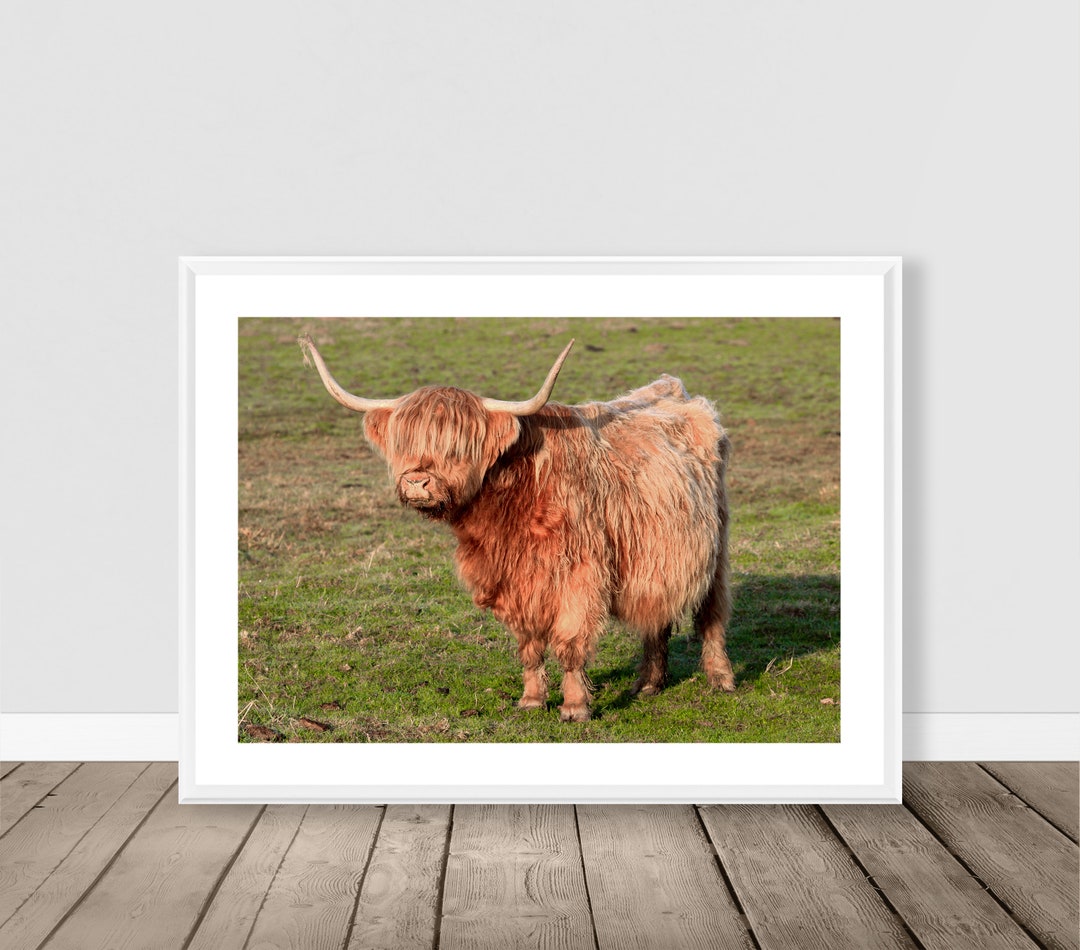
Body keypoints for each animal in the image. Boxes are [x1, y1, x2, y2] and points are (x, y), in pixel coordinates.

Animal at [299, 335, 734, 722]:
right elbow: (529, 645)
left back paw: (720, 679)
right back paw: (648, 684)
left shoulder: (580, 575)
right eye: (404, 442)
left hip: (716, 547)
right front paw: (531, 700)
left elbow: (569, 644)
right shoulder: (512, 580)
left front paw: (574, 707)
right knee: (656, 614)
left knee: (712, 613)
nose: (417, 482)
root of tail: (674, 389)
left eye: (458, 447)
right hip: (656, 557)